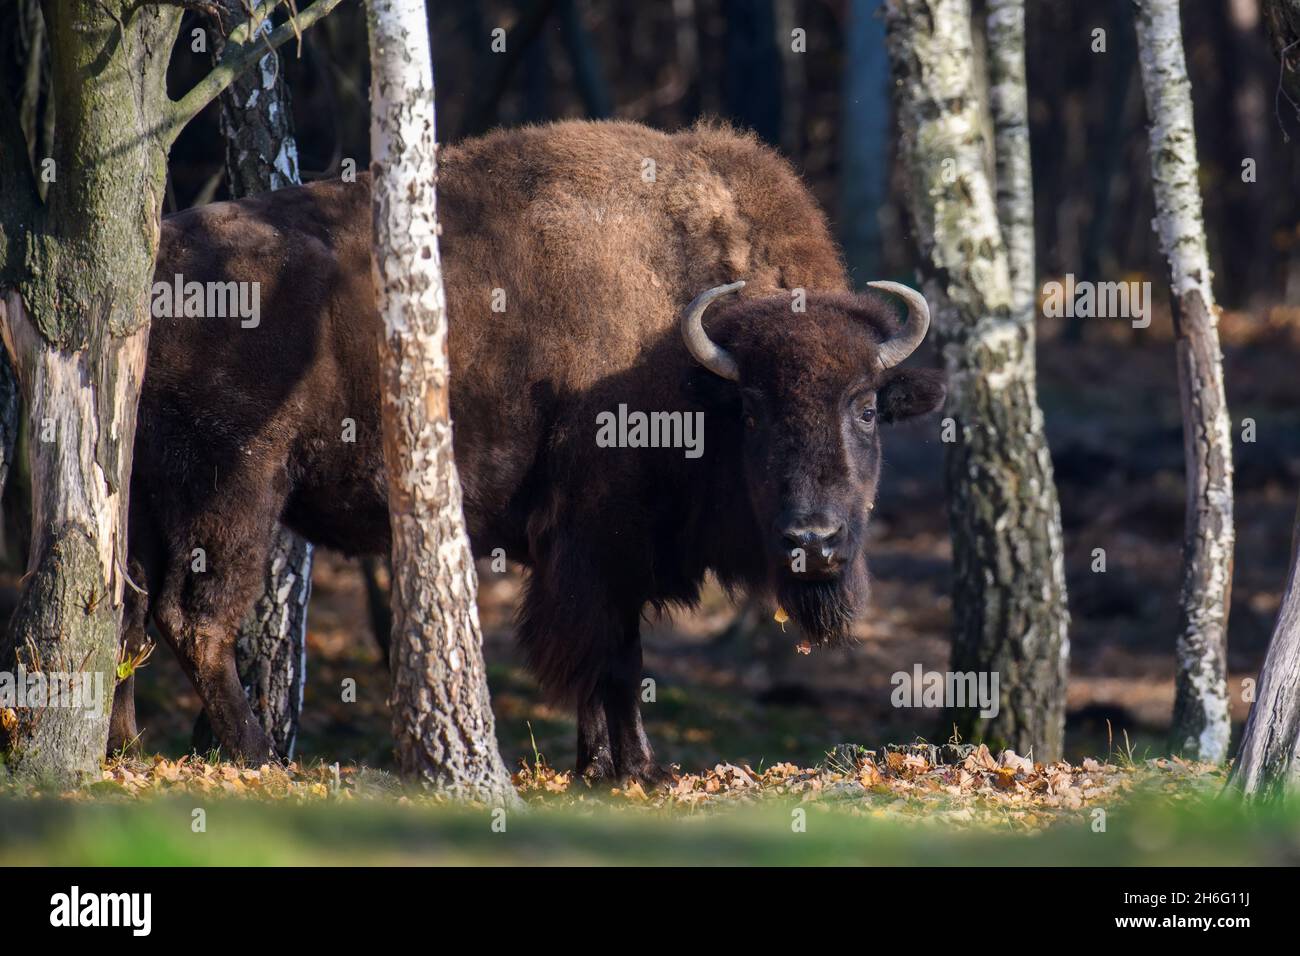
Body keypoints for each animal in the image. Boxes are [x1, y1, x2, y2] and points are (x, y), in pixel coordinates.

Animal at [111, 120, 945, 782]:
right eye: (753, 409)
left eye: (867, 406)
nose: (816, 540)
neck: (686, 358)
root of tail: (149, 278)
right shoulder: (597, 542)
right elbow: (614, 658)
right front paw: (635, 770)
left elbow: (604, 661)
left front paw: (598, 765)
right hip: (232, 492)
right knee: (194, 618)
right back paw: (257, 757)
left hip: (143, 496)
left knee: (128, 608)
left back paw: (124, 747)